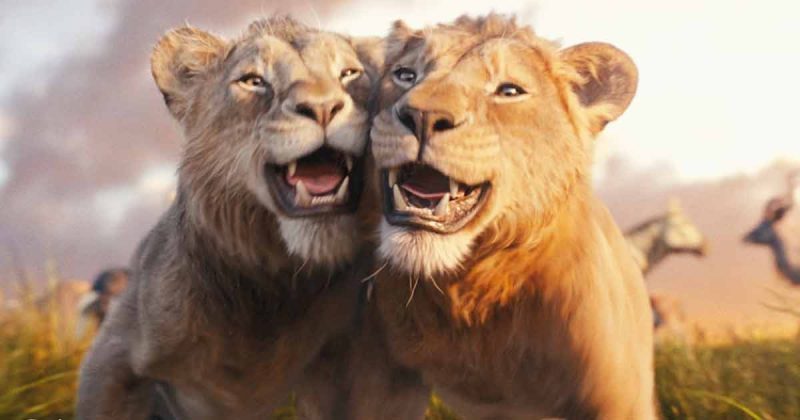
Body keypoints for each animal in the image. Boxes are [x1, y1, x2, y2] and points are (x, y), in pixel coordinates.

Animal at [348, 14, 656, 419]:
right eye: (405, 75)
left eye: (509, 91)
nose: (422, 116)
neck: (470, 290)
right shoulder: (386, 384)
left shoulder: (619, 398)